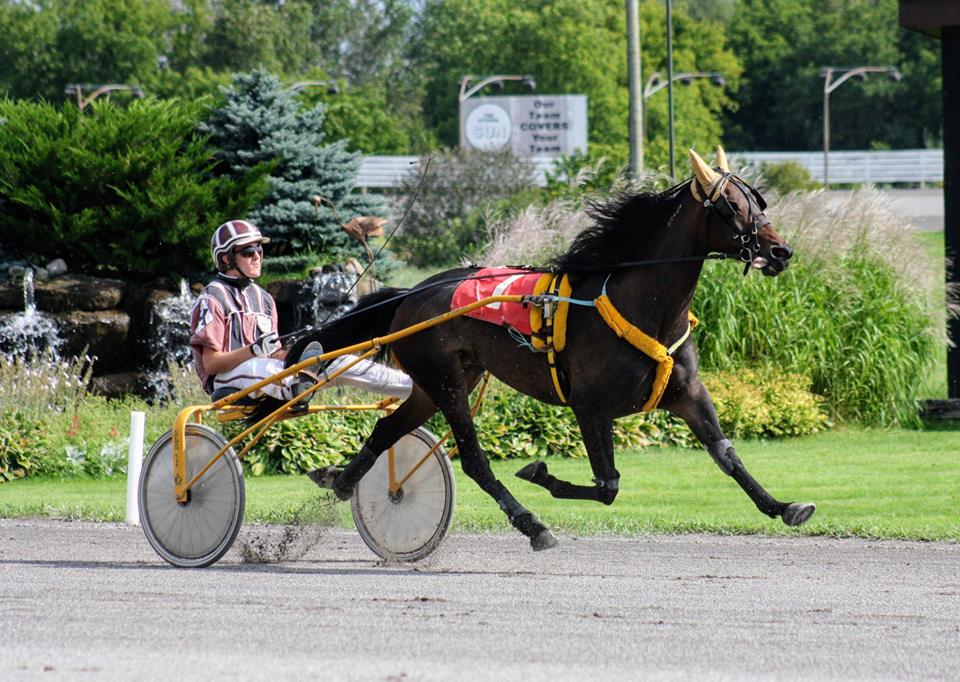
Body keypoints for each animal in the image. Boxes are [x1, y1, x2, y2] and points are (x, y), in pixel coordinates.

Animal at [289, 147, 816, 551]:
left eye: (757, 200)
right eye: (730, 205)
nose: (781, 251)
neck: (641, 303)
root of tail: (411, 294)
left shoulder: (686, 394)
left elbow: (727, 456)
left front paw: (785, 505)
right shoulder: (591, 405)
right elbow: (607, 486)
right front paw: (541, 473)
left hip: (437, 382)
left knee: (386, 429)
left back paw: (341, 481)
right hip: (445, 381)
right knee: (474, 460)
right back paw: (531, 525)